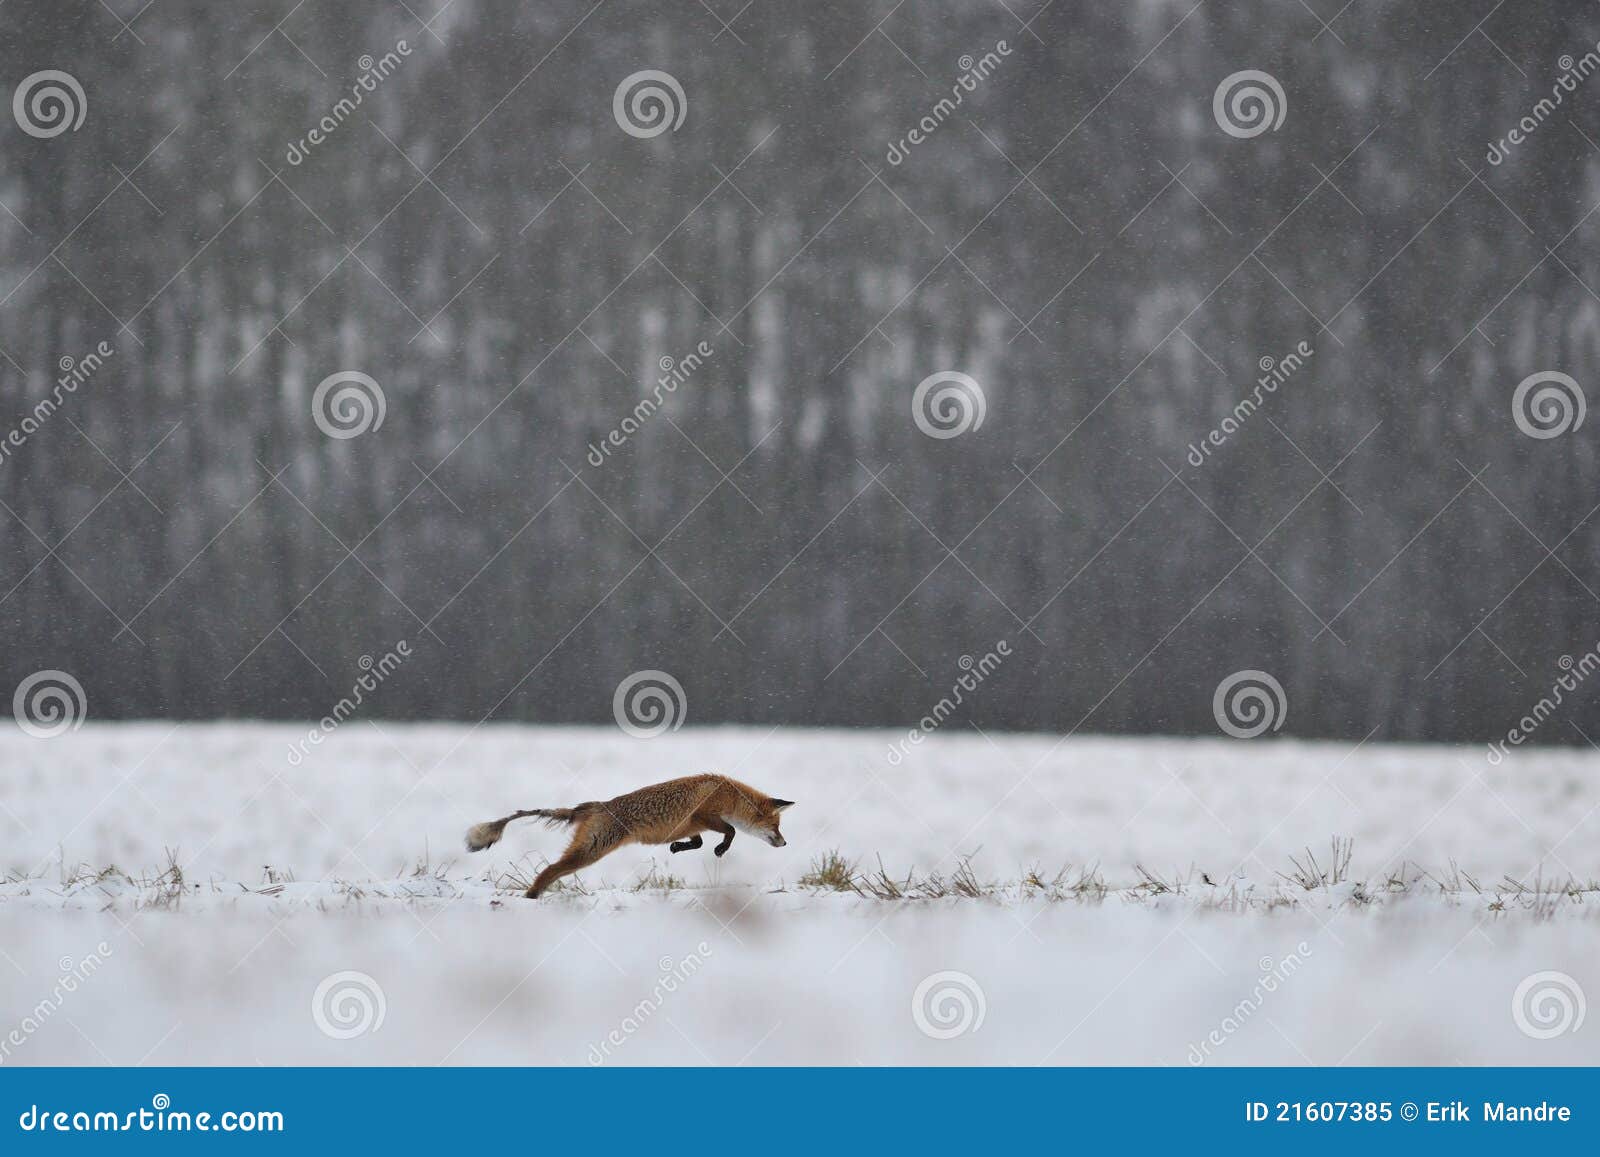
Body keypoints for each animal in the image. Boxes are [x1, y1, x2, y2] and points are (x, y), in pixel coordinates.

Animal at [464, 774, 794, 898]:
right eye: (776, 826)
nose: (785, 843)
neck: (729, 794)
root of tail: (597, 804)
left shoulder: (692, 826)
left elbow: (696, 841)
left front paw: (678, 848)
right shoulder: (703, 817)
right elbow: (731, 830)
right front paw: (721, 849)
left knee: (552, 871)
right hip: (591, 851)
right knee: (549, 870)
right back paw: (531, 898)